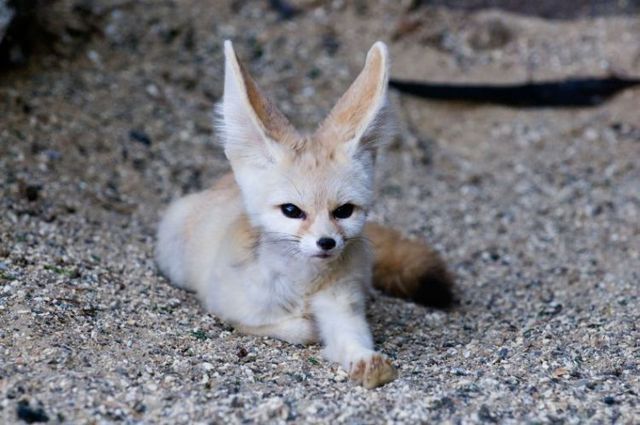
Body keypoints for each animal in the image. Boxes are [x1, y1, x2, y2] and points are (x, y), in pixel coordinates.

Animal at [155, 40, 453, 389]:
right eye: (291, 211)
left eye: (344, 211)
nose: (326, 243)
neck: (304, 286)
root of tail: (224, 182)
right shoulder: (229, 308)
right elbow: (298, 328)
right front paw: (307, 325)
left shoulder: (343, 307)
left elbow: (351, 339)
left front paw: (365, 360)